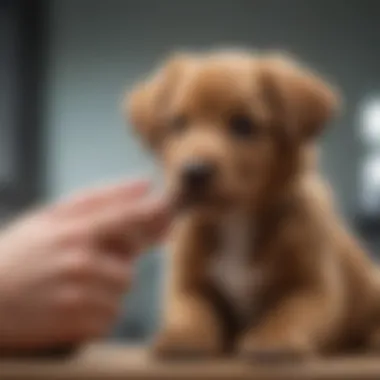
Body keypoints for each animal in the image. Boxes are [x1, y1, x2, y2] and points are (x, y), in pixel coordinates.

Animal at [123, 49, 380, 360]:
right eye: (177, 123)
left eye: (243, 125)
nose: (193, 172)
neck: (237, 219)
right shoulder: (187, 283)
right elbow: (192, 310)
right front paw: (182, 336)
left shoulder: (316, 288)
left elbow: (289, 312)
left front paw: (274, 339)